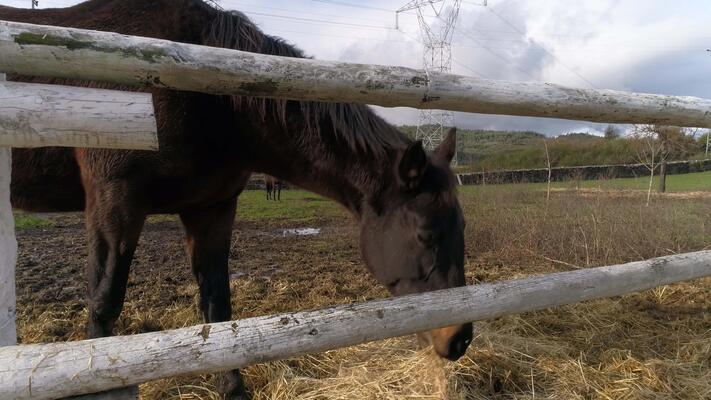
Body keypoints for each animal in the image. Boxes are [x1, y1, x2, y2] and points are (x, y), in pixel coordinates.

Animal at [1, 1, 471, 398]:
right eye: (426, 236)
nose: (460, 339)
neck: (207, 100)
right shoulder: (112, 203)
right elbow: (104, 303)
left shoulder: (211, 209)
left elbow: (217, 306)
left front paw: (233, 388)